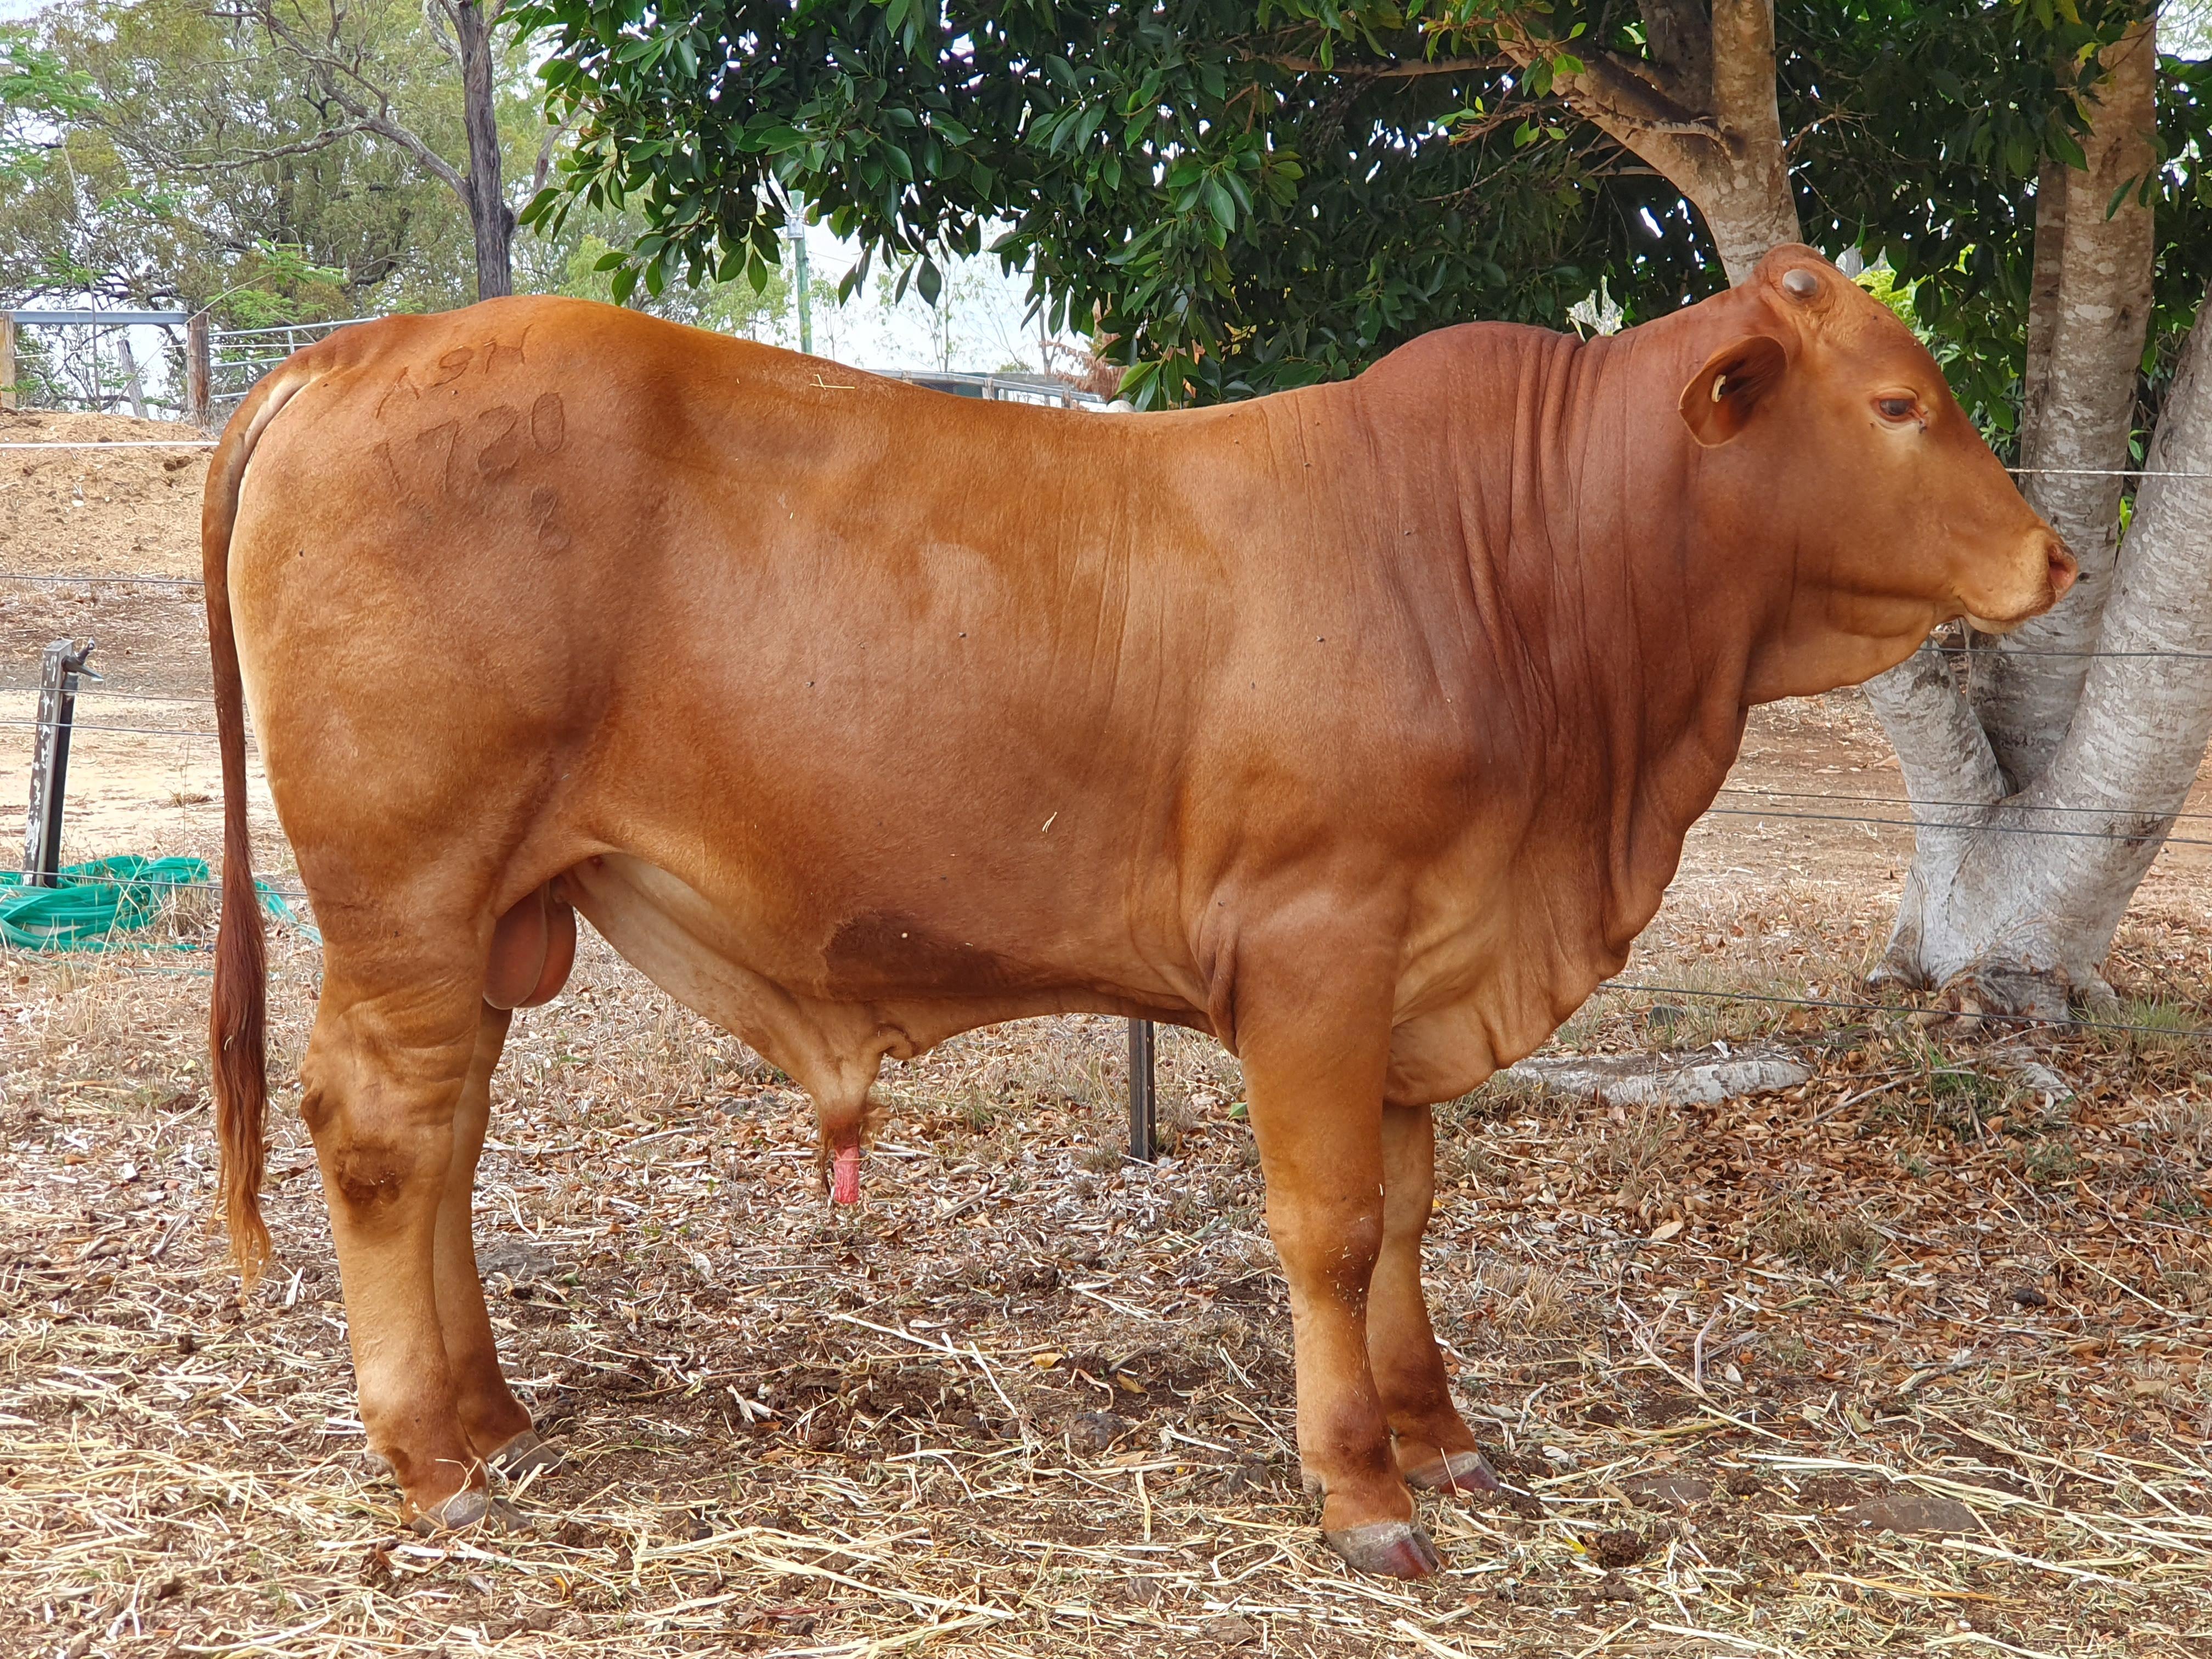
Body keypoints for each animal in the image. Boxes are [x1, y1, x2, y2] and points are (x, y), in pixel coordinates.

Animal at [202, 246, 2072, 1577]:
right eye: (1900, 406)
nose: (2056, 558)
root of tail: (352, 351)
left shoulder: (1417, 965)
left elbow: (1408, 1212)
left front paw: (1440, 1430)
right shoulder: (1320, 946)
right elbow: (1329, 1228)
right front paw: (1363, 1490)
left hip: (490, 913)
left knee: (448, 1138)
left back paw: (497, 1417)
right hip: (408, 889)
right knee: (380, 1134)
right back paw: (430, 1458)